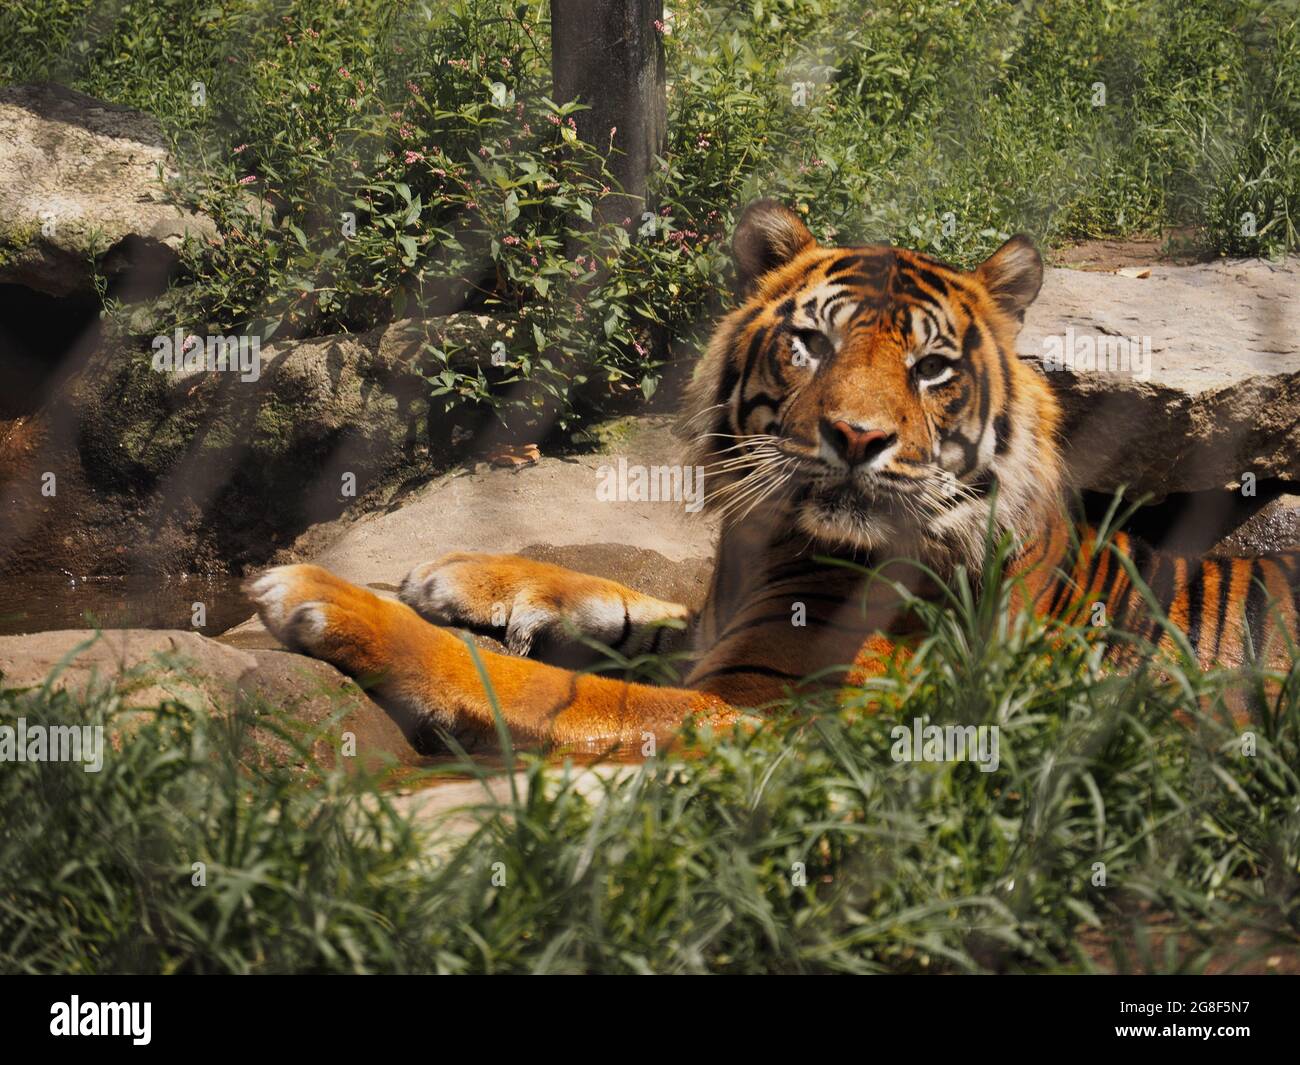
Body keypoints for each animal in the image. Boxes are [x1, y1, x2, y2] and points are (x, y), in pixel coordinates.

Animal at [246, 199, 1300, 751]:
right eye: (813, 343)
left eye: (932, 368)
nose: (857, 436)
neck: (767, 540)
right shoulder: (710, 630)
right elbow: (619, 599)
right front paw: (458, 575)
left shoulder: (757, 712)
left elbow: (541, 687)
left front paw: (325, 599)